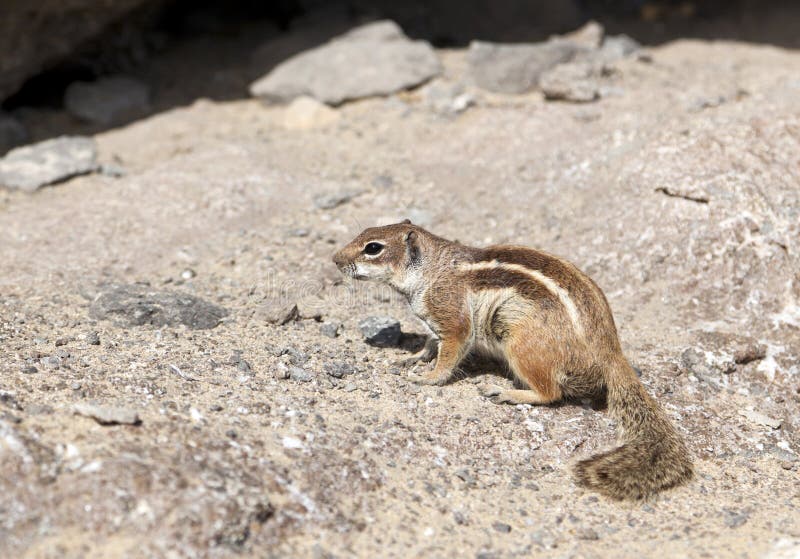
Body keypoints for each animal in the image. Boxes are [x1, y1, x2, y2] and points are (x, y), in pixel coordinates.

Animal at [332, 220, 693, 500]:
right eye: (364, 232)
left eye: (373, 248)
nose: (335, 259)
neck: (431, 268)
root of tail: (612, 354)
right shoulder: (434, 323)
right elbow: (431, 344)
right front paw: (412, 360)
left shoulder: (452, 318)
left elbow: (451, 353)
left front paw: (427, 378)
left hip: (522, 346)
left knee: (550, 393)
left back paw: (507, 392)